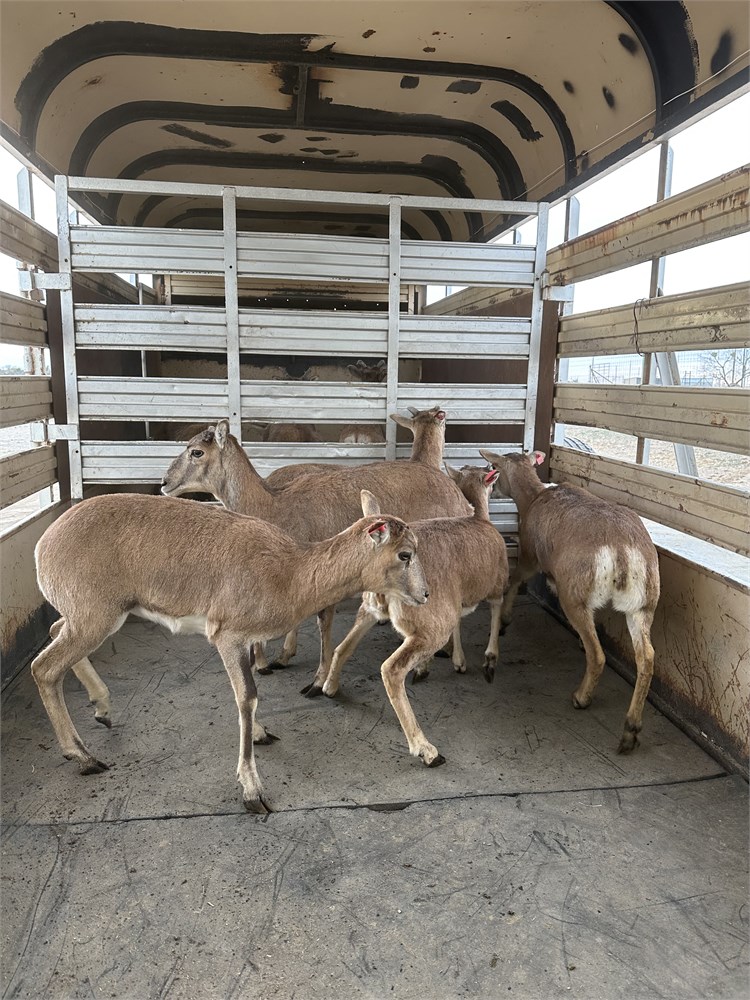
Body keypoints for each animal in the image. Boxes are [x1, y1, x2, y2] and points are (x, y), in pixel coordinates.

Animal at [30, 493, 427, 812]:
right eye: (405, 554)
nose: (425, 594)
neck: (289, 575)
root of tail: (42, 546)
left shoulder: (242, 641)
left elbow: (245, 692)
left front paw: (261, 734)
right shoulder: (228, 636)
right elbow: (247, 696)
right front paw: (253, 790)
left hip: (89, 617)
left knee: (53, 631)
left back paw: (103, 709)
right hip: (95, 616)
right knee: (44, 667)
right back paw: (84, 756)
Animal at [316, 464, 509, 766]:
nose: (492, 467)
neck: (481, 518)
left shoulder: (453, 602)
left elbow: (458, 623)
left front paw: (455, 661)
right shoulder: (496, 584)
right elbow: (496, 611)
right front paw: (489, 660)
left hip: (370, 609)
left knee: (342, 647)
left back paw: (330, 687)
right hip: (427, 625)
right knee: (391, 669)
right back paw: (426, 749)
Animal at [479, 449, 660, 753]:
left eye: (495, 466)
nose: (492, 488)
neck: (531, 499)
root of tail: (622, 551)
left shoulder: (530, 554)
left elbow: (515, 579)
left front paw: (504, 620)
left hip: (574, 592)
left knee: (598, 654)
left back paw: (581, 697)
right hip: (644, 602)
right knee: (646, 657)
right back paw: (630, 731)